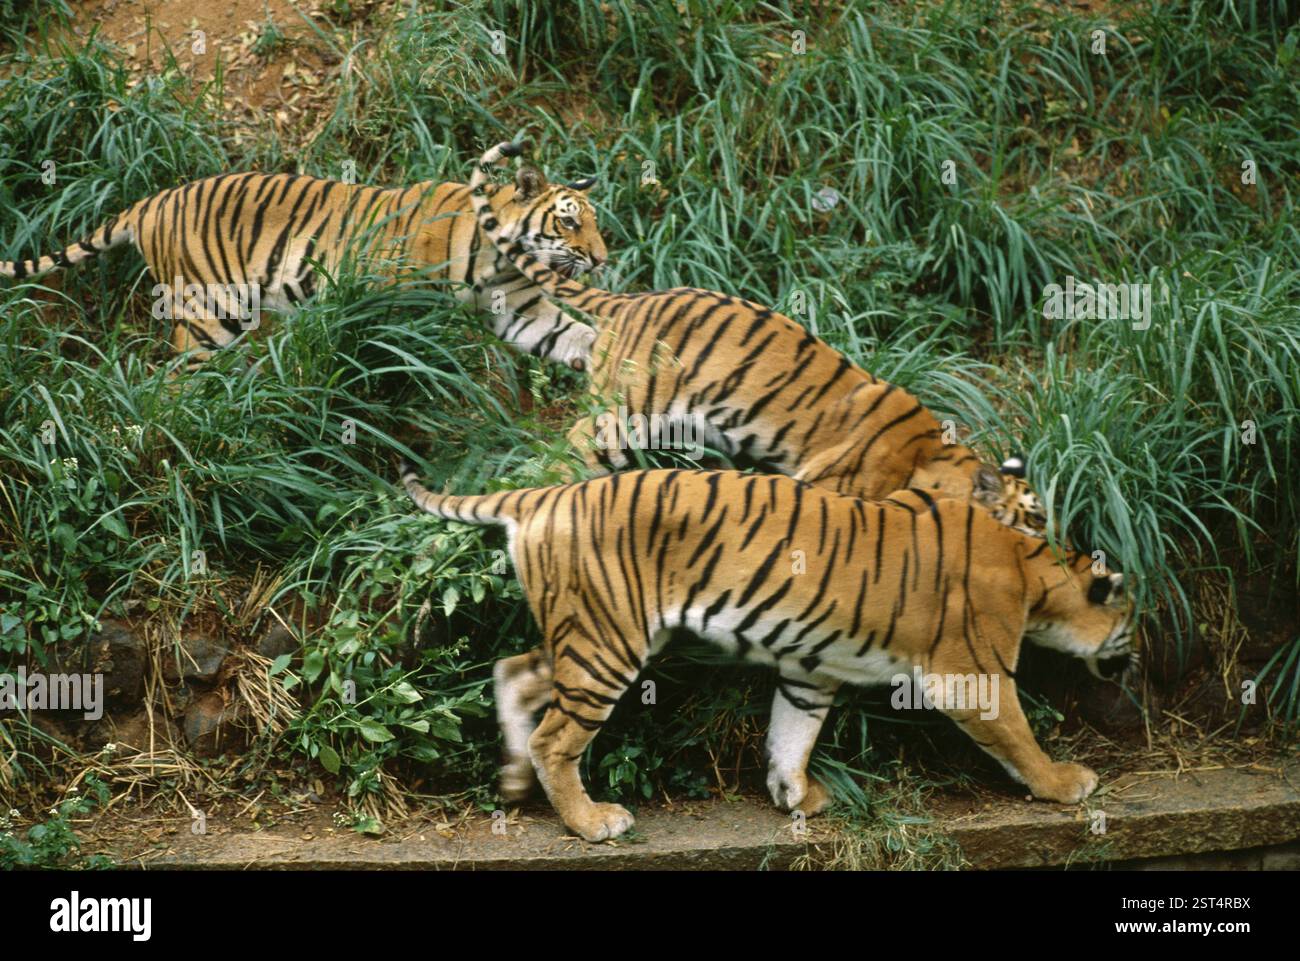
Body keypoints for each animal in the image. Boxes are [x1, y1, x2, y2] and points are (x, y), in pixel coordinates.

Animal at [0, 160, 607, 369]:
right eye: (569, 222)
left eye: (597, 223)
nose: (601, 260)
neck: (498, 264)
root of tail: (154, 200)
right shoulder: (394, 303)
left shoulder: (521, 312)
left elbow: (575, 336)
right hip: (208, 310)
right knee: (174, 380)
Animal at [400, 463, 1137, 842]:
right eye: (1130, 622)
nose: (1132, 661)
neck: (1033, 570)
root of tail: (546, 492)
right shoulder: (970, 673)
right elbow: (1017, 734)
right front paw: (1064, 783)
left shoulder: (810, 670)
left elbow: (792, 734)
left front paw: (795, 796)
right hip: (607, 640)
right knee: (556, 737)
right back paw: (591, 821)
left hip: (589, 633)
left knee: (514, 672)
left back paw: (513, 780)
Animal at [468, 141, 1050, 539]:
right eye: (1032, 524)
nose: (1057, 560)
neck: (929, 459)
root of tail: (631, 300)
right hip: (623, 415)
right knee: (566, 453)